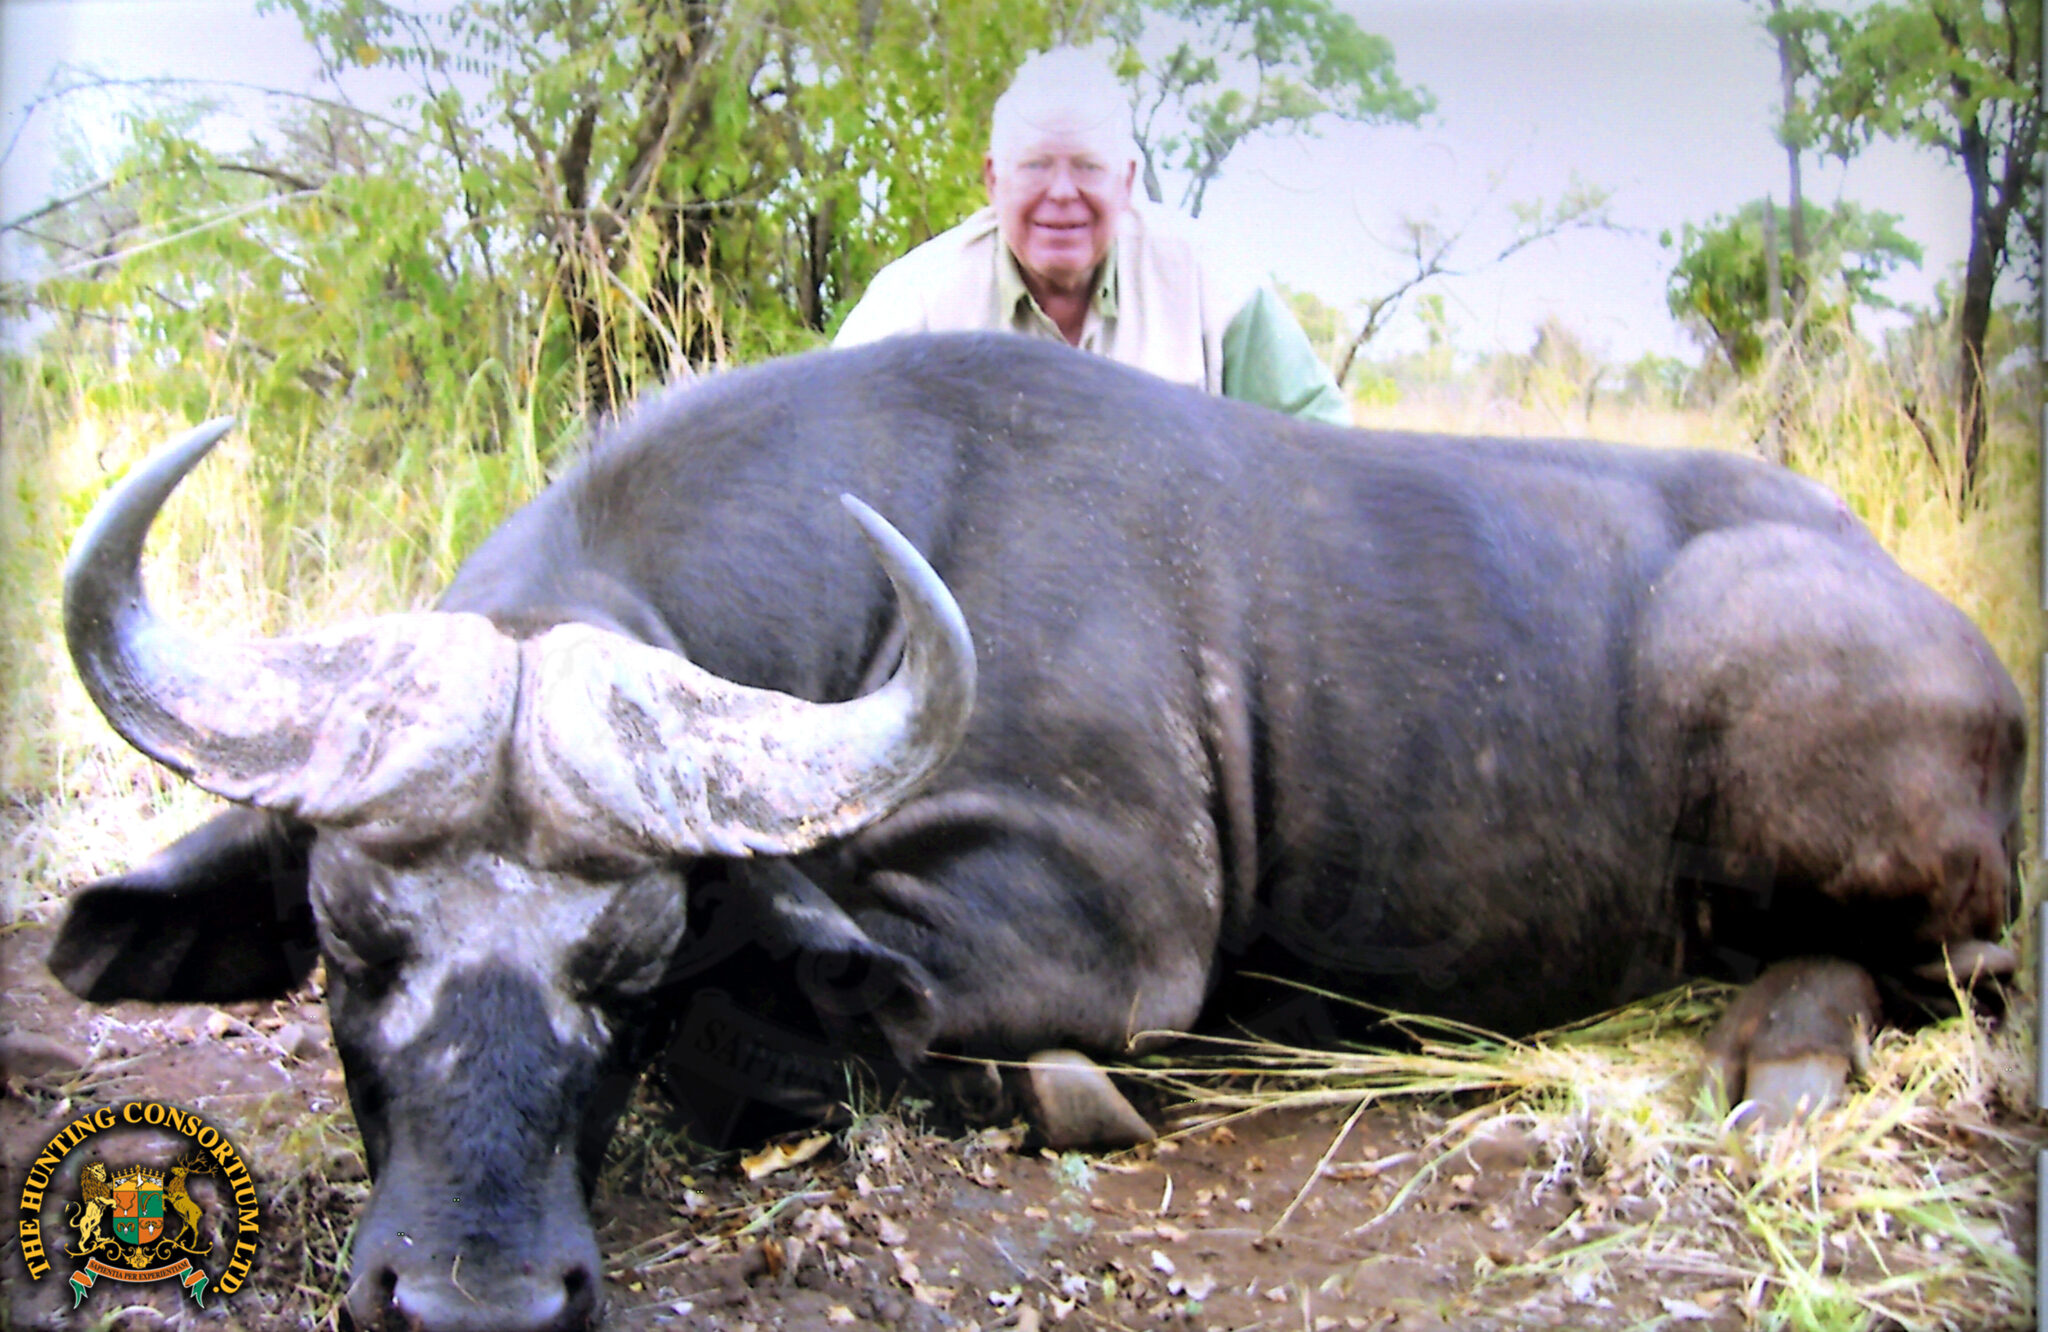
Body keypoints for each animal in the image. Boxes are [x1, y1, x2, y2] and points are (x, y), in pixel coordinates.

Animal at [51, 333, 2023, 1332]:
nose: (473, 1298)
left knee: (1942, 965)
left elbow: (765, 1042)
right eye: (345, 945)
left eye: (635, 962)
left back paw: (1779, 1066)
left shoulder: (1095, 933)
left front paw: (1053, 1090)